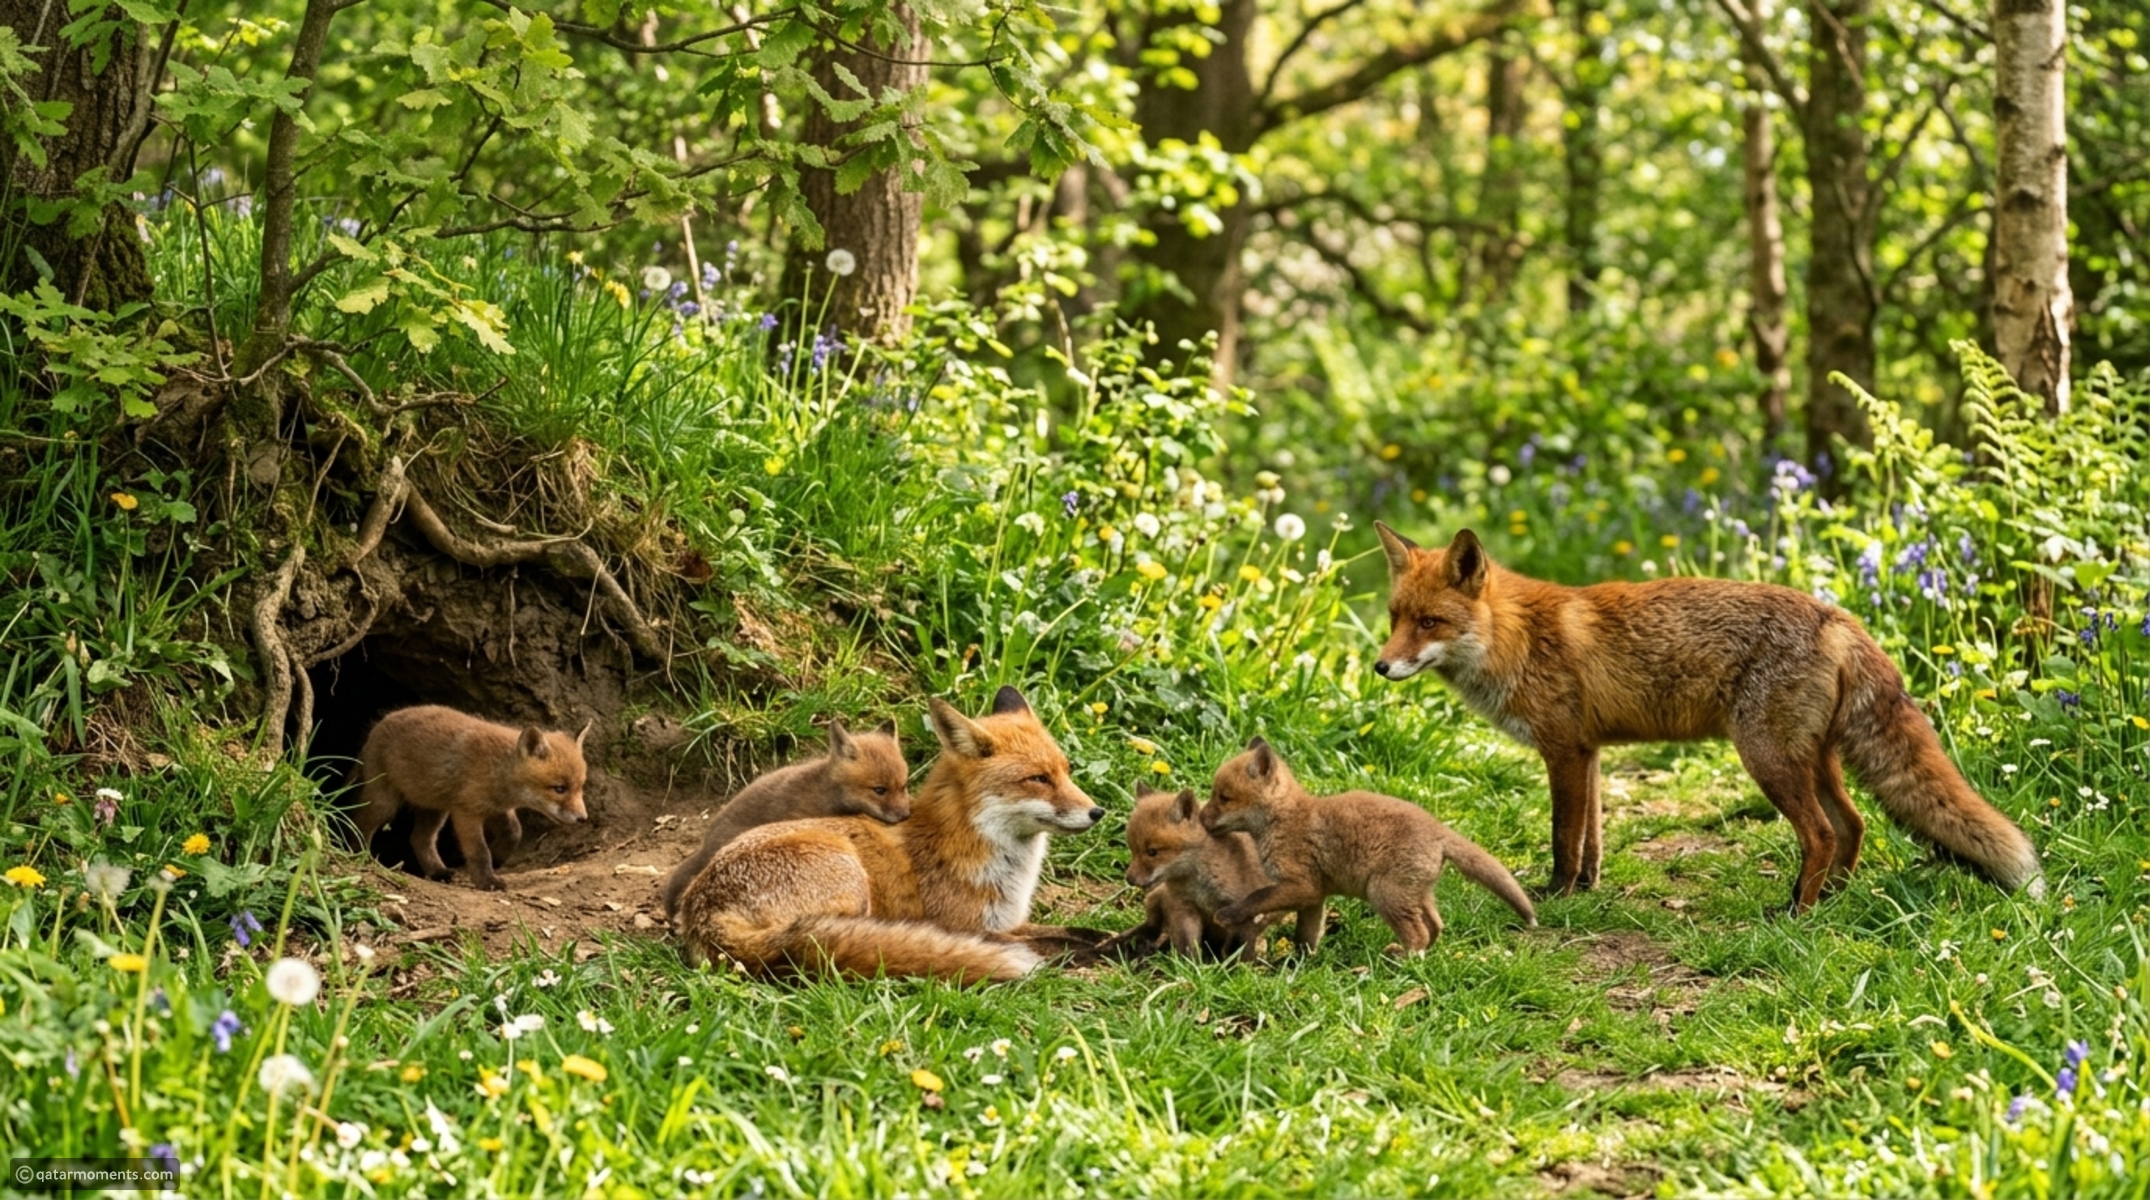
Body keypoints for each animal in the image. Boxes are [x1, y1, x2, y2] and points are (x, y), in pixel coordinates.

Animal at [349, 705, 590, 892]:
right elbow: (479, 851)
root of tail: (379, 724)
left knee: (420, 838)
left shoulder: (496, 808)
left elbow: (514, 833)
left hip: (435, 808)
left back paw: (437, 872)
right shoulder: (467, 812)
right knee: (360, 824)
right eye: (559, 789)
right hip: (385, 803)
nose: (583, 818)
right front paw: (487, 881)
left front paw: (498, 858)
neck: (498, 770)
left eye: (580, 788)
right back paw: (359, 856)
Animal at [1100, 784, 1276, 960]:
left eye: (1152, 852)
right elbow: (1187, 946)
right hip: (1155, 898)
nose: (1129, 879)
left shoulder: (1243, 912)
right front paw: (1190, 966)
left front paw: (1235, 967)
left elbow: (1240, 951)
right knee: (1152, 927)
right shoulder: (1183, 907)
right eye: (1132, 849)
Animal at [1199, 738, 1537, 955]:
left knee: (1418, 933)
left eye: (1223, 798)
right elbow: (1306, 937)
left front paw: (1231, 915)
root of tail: (1439, 829)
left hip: (1384, 893)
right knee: (1436, 925)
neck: (1283, 820)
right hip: (1415, 893)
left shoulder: (1300, 885)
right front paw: (1299, 965)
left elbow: (1258, 897)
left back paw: (1405, 965)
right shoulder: (1314, 896)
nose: (1200, 818)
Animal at [1370, 523, 2044, 912]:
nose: (1380, 666)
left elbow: (1564, 838)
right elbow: (1592, 840)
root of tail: (1839, 617)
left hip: (1767, 759)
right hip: (1812, 759)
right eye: (1395, 618)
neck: (1515, 637)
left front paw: (1555, 899)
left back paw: (1797, 913)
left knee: (1822, 833)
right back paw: (1832, 899)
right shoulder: (1589, 753)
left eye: (1429, 623)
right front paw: (1587, 890)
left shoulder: (1562, 751)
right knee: (1853, 825)